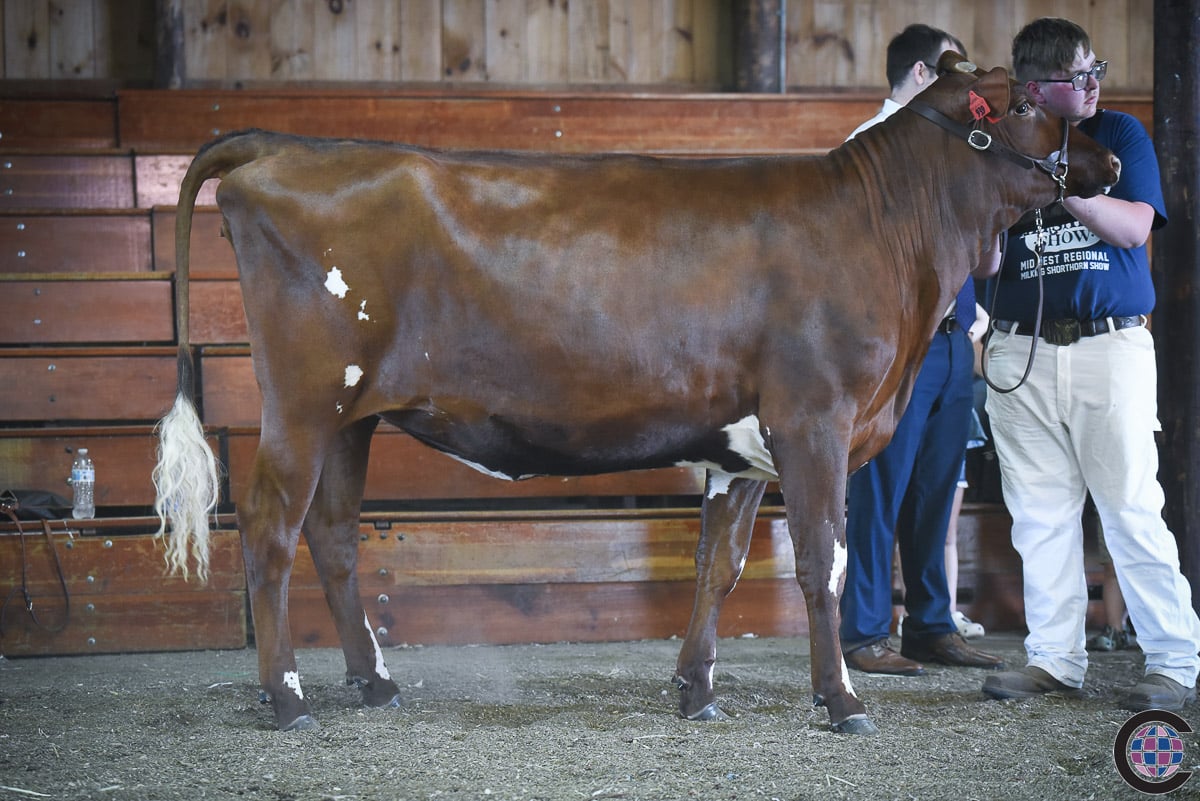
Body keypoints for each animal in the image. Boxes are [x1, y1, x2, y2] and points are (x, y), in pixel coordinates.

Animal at [153, 52, 1120, 735]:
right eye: (1026, 102)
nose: (1110, 156)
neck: (885, 230)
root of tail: (287, 144)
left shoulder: (745, 444)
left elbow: (720, 564)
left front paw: (696, 688)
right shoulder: (815, 419)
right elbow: (824, 560)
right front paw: (841, 699)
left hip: (354, 415)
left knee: (333, 533)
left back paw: (374, 681)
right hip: (304, 399)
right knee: (270, 527)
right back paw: (286, 697)